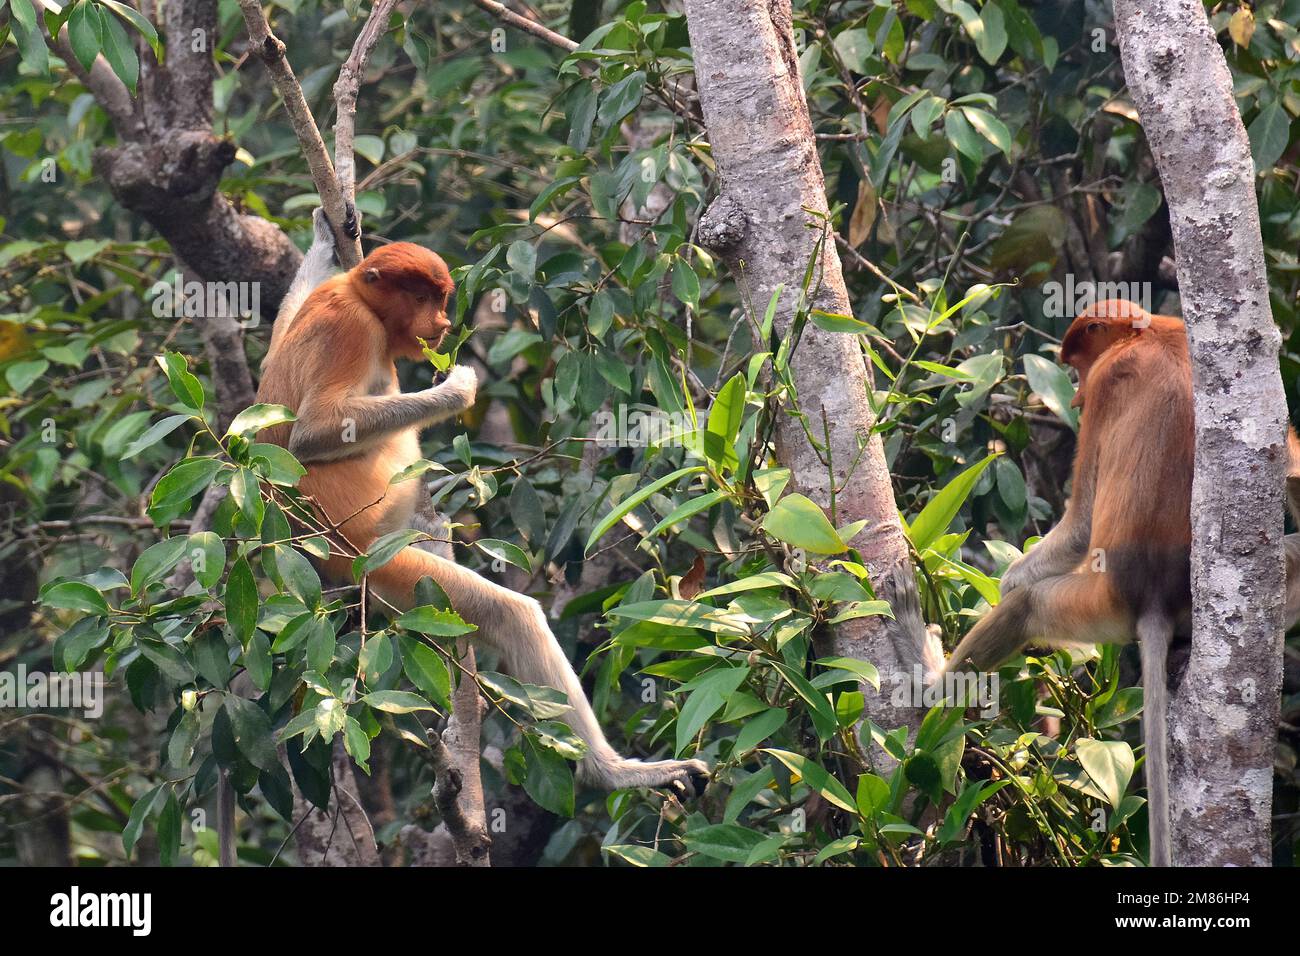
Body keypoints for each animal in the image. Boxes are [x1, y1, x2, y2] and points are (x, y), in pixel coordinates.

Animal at [254, 215, 709, 794]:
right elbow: (311, 434)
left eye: (440, 296)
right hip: (377, 561)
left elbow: (273, 353)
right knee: (511, 614)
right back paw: (613, 774)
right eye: (420, 296)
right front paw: (460, 386)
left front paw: (323, 237)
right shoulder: (351, 331)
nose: (444, 321)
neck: (361, 298)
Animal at [942, 298, 1300, 866]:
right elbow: (1291, 470)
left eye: (1078, 366)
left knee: (1029, 608)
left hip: (1097, 603)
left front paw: (1006, 582)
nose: (1074, 392)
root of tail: (1153, 598)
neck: (1148, 334)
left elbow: (1082, 519)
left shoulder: (1108, 383)